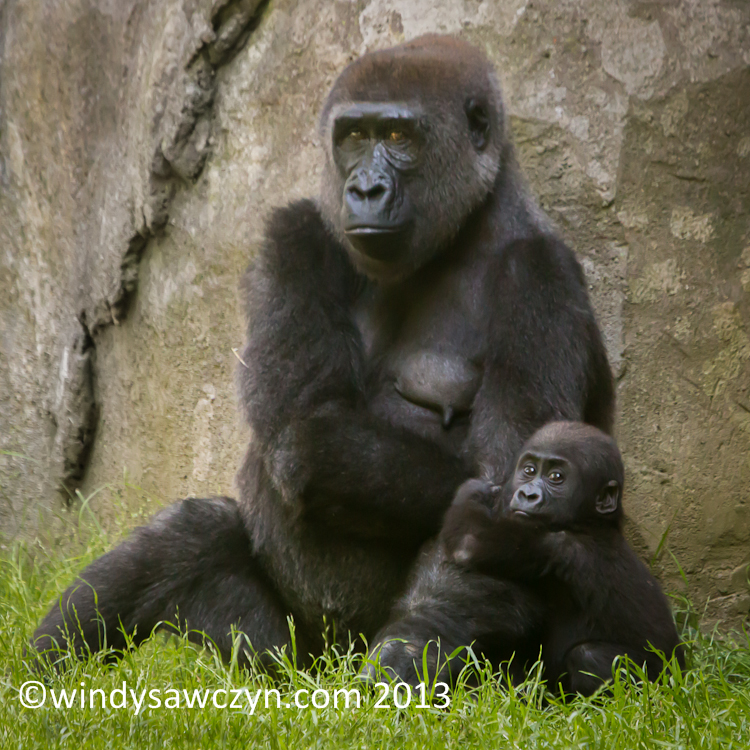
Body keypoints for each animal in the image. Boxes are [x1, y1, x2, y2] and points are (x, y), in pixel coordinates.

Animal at [32, 36, 614, 672]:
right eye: (354, 136)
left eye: (398, 136)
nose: (364, 190)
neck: (464, 232)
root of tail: (319, 670)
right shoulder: (297, 230)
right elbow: (306, 422)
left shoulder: (541, 278)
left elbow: (503, 482)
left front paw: (415, 644)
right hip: (277, 660)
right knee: (185, 536)